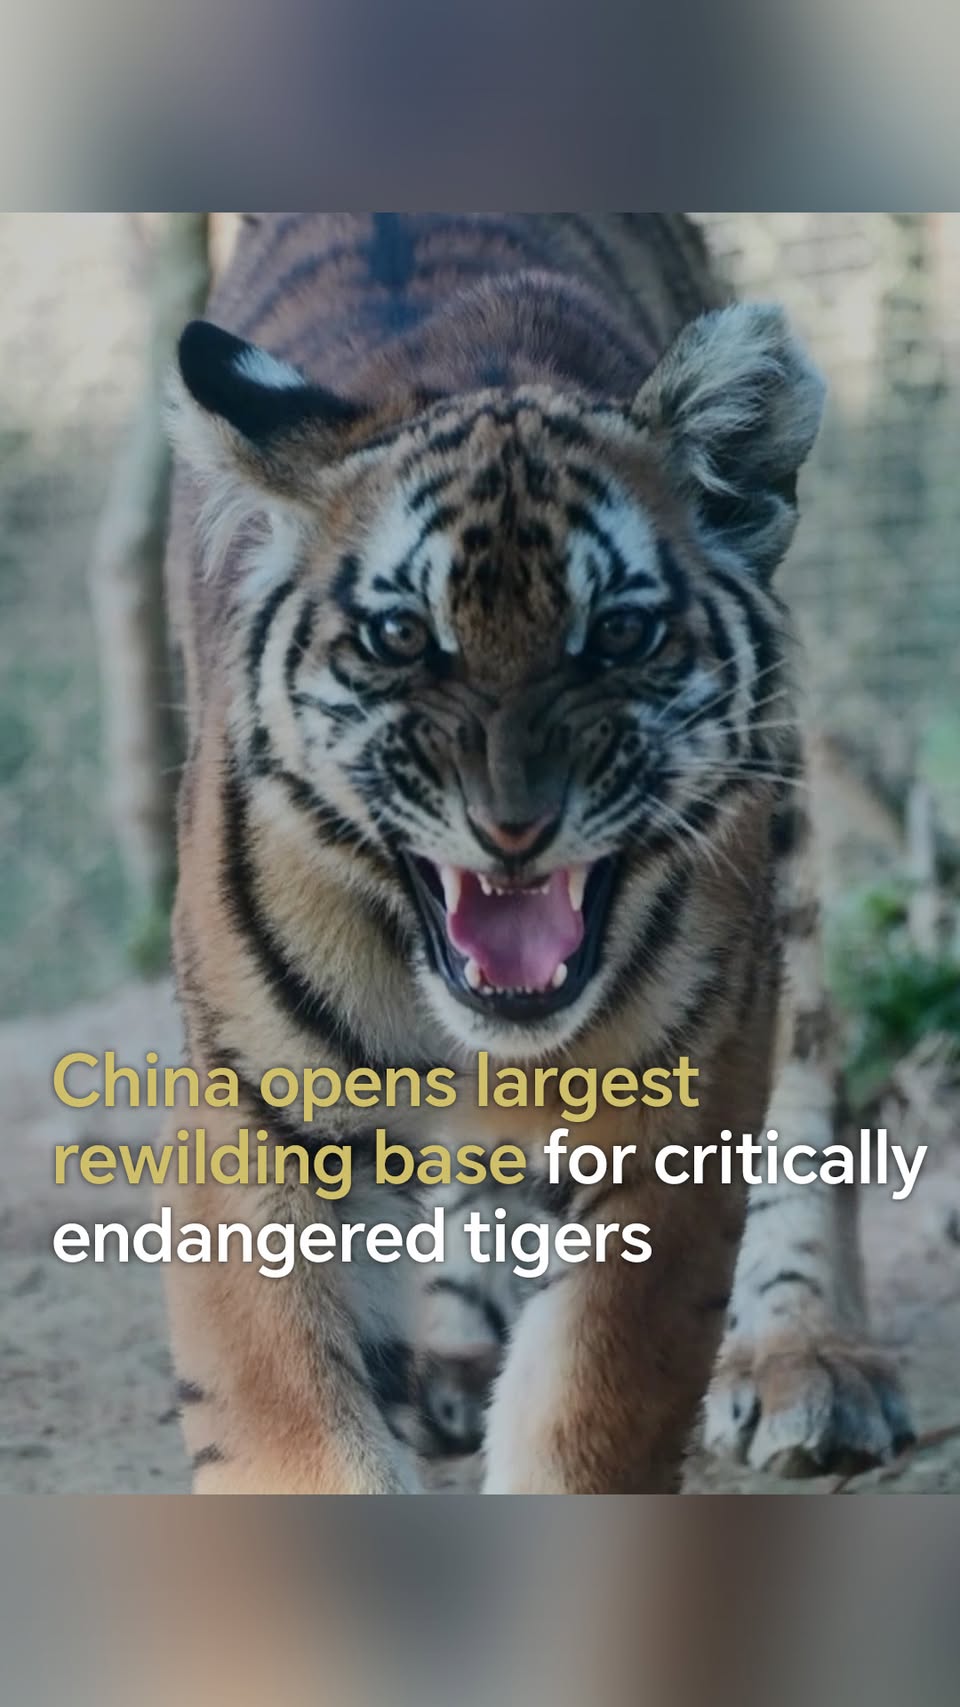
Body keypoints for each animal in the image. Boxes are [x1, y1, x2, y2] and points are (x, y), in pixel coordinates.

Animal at [163, 213, 912, 1492]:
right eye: (400, 637)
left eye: (619, 633)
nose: (512, 826)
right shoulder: (249, 1118)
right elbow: (296, 1427)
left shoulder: (675, 1111)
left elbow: (591, 1402)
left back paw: (807, 1359)